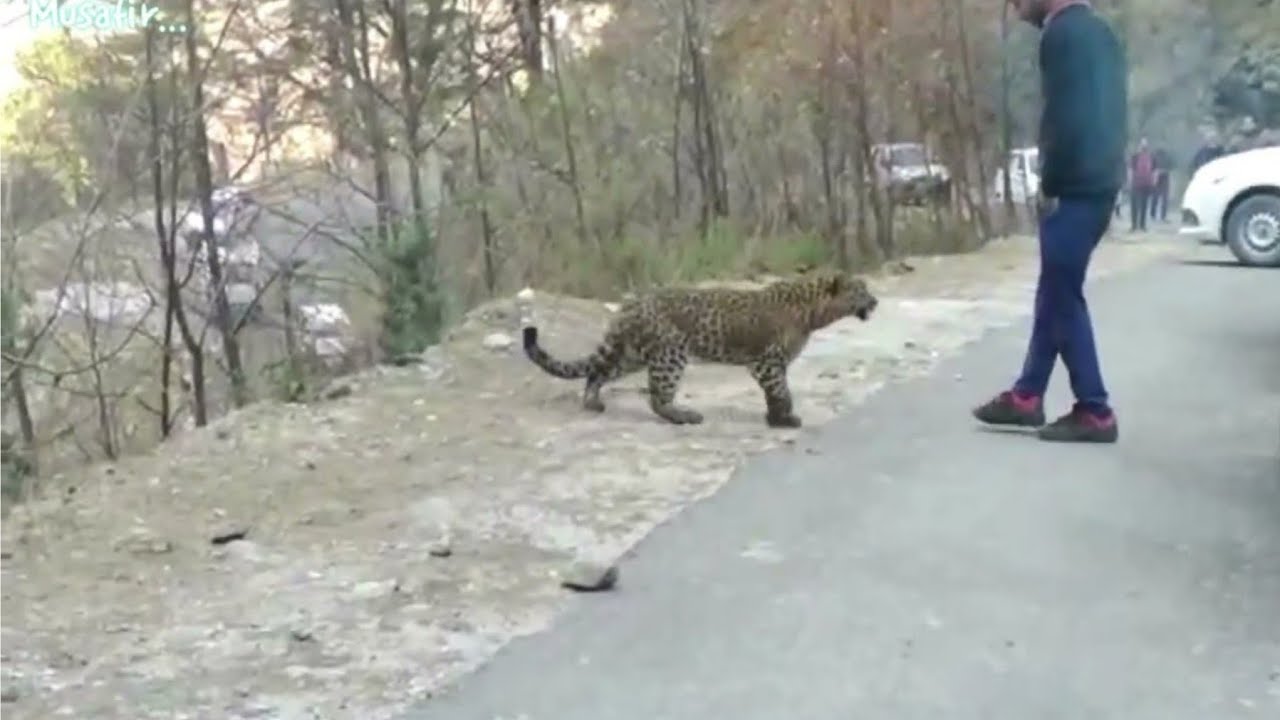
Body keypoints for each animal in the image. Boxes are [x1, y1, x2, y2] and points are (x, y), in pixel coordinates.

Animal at [522, 268, 879, 428]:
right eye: (860, 290)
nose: (875, 301)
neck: (813, 313)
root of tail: (629, 305)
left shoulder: (771, 365)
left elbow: (776, 392)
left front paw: (774, 417)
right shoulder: (766, 362)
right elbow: (781, 391)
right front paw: (784, 418)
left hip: (633, 354)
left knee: (597, 371)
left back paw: (592, 402)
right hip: (670, 355)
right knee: (656, 398)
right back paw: (684, 415)